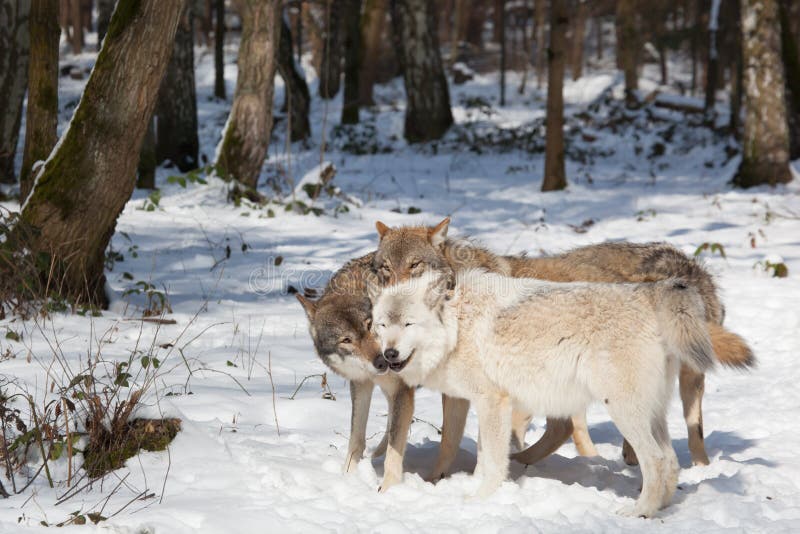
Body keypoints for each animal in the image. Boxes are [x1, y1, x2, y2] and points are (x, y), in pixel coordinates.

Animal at [371, 269, 717, 516]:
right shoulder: (482, 404)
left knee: (656, 460)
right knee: (671, 460)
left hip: (623, 411)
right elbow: (482, 456)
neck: (456, 324)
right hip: (651, 412)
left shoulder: (493, 402)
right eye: (381, 326)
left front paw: (481, 498)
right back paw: (661, 509)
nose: (389, 354)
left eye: (408, 324)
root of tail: (651, 292)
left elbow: (493, 461)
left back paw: (639, 512)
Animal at [372, 218, 754, 468]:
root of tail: (687, 263)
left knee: (691, 431)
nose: (394, 298)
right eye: (385, 269)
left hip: (684, 378)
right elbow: (447, 440)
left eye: (414, 265)